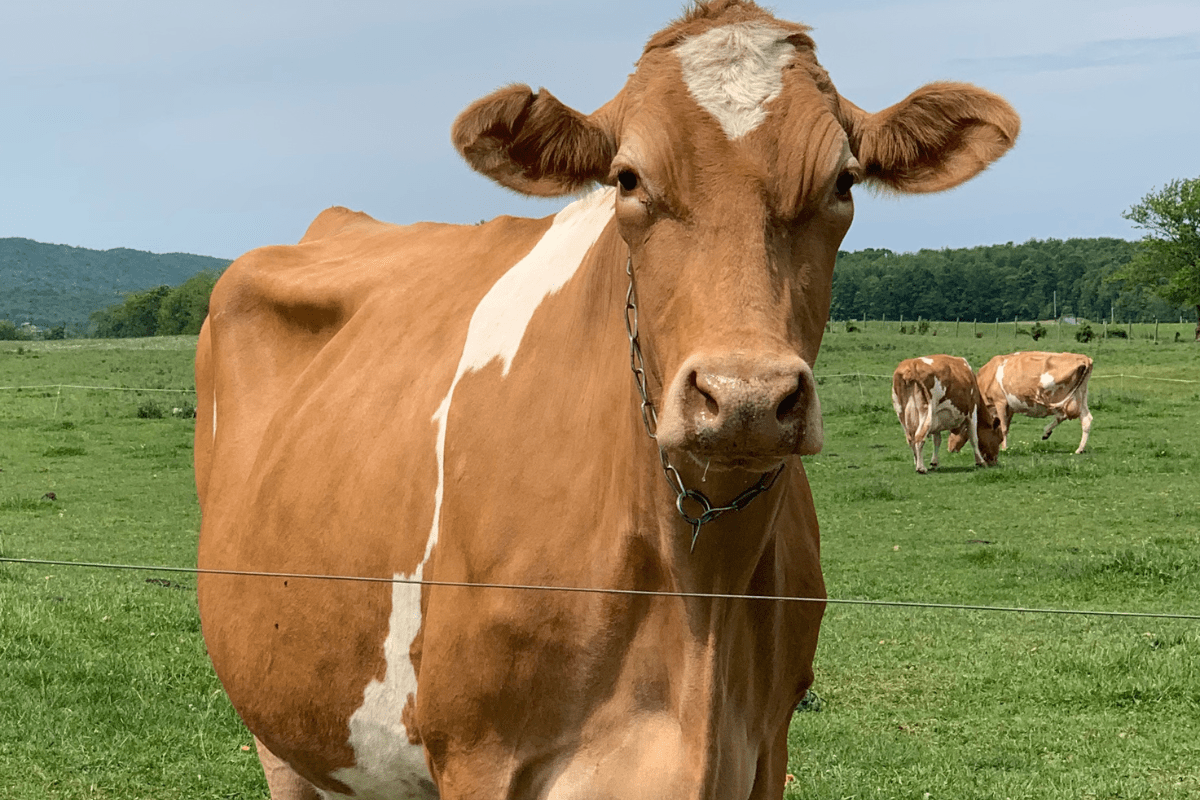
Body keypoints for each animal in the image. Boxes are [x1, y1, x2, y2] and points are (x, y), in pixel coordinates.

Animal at [193, 3, 1018, 798]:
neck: (699, 602)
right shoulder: (478, 756)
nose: (746, 397)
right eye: (626, 179)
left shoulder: (765, 747)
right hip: (283, 732)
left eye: (843, 182)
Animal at [955, 351, 1094, 454]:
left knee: (1067, 415)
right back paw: (1076, 447)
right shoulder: (1009, 408)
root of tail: (1084, 358)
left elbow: (1003, 428)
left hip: (1062, 398)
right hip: (1080, 396)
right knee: (1085, 419)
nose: (952, 449)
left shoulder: (1000, 402)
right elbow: (1005, 426)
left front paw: (1004, 449)